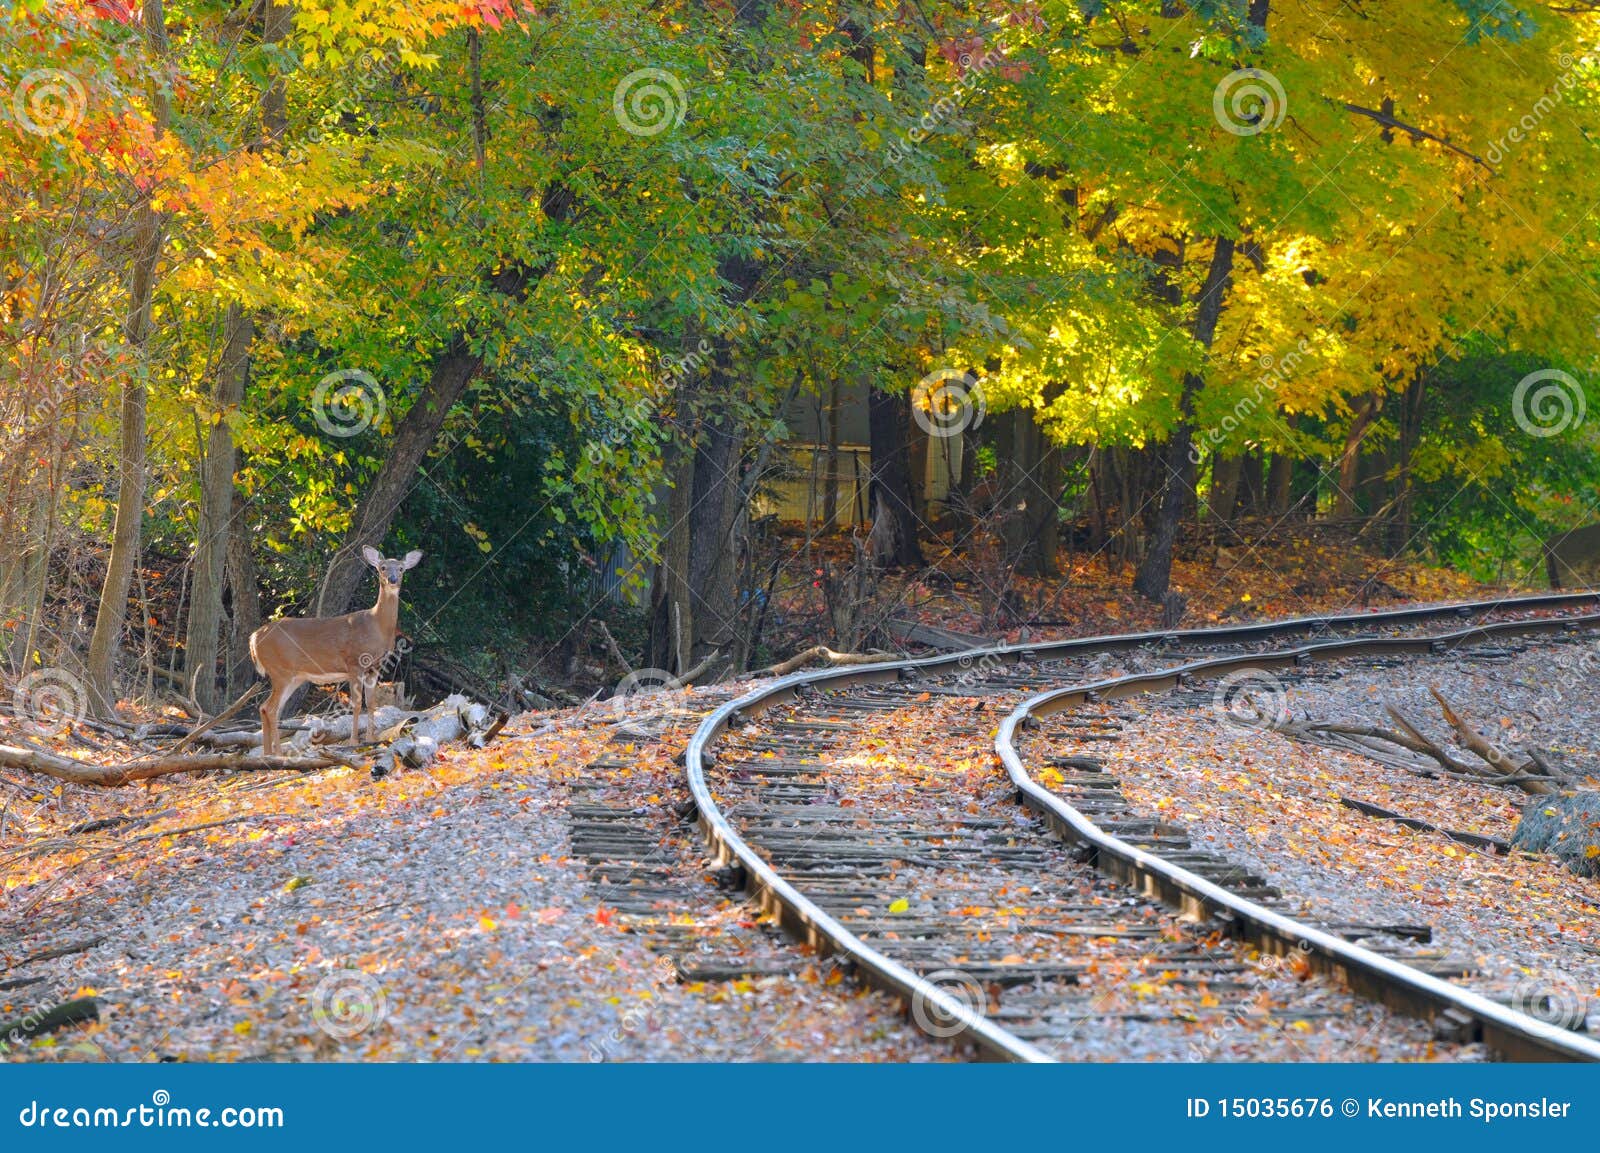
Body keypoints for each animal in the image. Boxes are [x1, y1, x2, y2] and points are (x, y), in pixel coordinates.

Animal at [249, 546, 422, 755]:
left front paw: (371, 739)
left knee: (265, 707)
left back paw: (268, 753)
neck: (377, 626)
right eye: (383, 567)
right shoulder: (355, 662)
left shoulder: (375, 668)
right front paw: (354, 741)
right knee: (271, 709)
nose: (393, 579)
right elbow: (357, 704)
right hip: (280, 670)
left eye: (402, 568)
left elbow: (372, 703)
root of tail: (254, 637)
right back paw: (278, 754)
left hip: (294, 676)